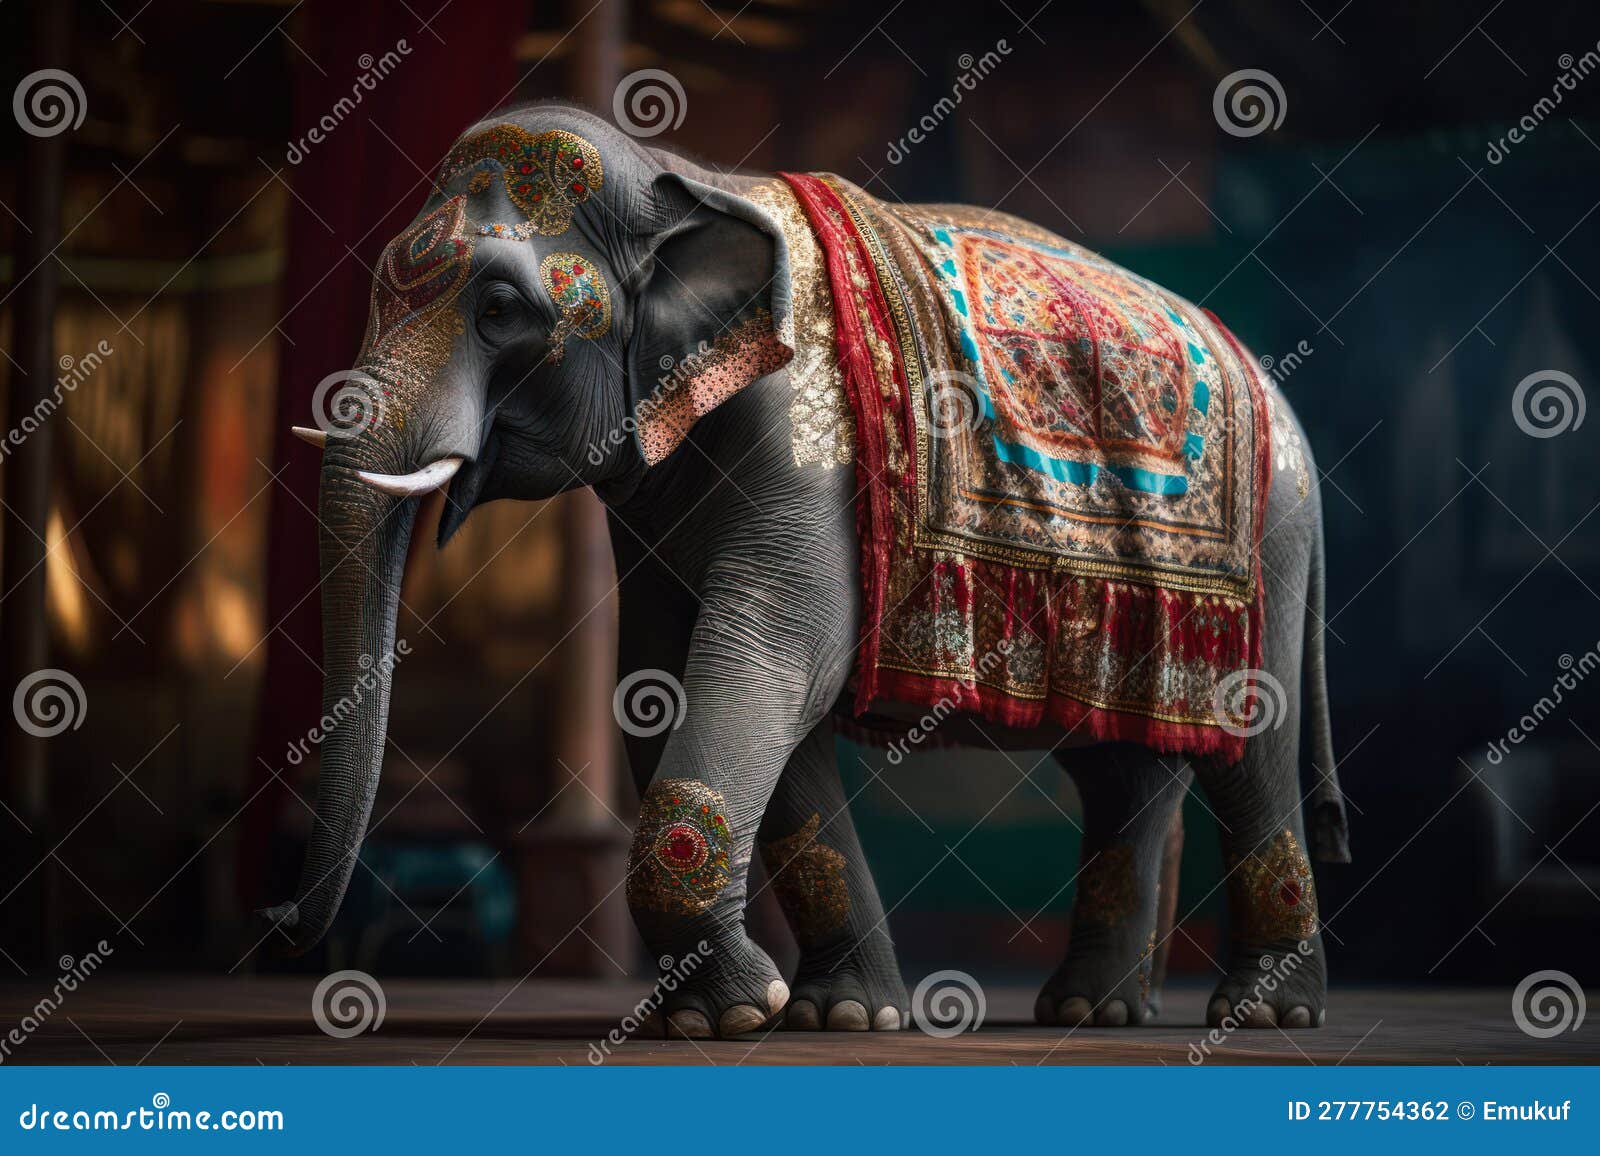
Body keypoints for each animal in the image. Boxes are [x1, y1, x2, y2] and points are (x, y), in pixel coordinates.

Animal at [261, 101, 1350, 1041]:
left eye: (497, 309)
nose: (283, 925)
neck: (687, 180)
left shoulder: (807, 446)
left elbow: (776, 654)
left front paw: (741, 1015)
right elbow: (666, 674)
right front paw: (824, 1015)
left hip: (1273, 536)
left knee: (1249, 743)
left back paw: (1258, 1015)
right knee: (1124, 764)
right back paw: (1096, 1010)